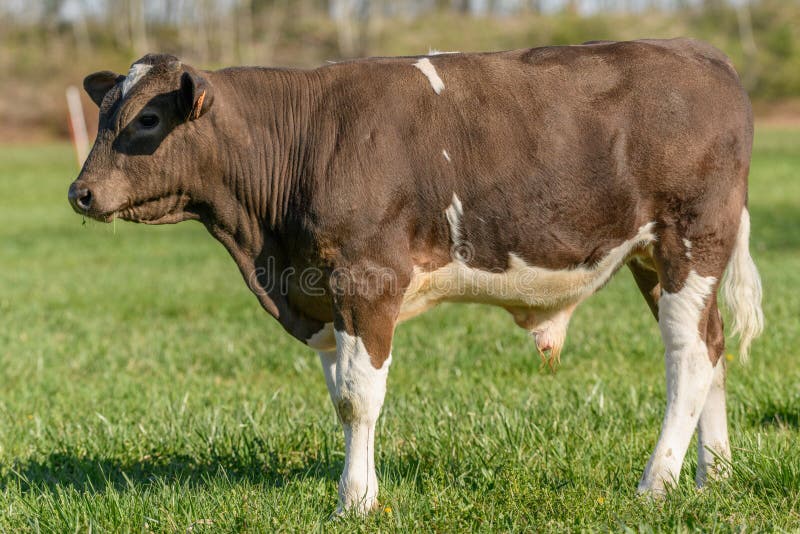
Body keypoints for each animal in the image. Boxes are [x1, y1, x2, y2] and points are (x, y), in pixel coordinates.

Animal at [68, 39, 763, 515]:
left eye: (148, 120)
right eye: (102, 116)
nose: (80, 192)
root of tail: (700, 52)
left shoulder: (366, 278)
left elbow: (358, 397)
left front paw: (353, 501)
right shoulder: (320, 291)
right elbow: (341, 398)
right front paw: (361, 490)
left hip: (691, 239)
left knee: (688, 357)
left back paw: (656, 484)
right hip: (654, 258)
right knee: (713, 347)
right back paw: (716, 477)